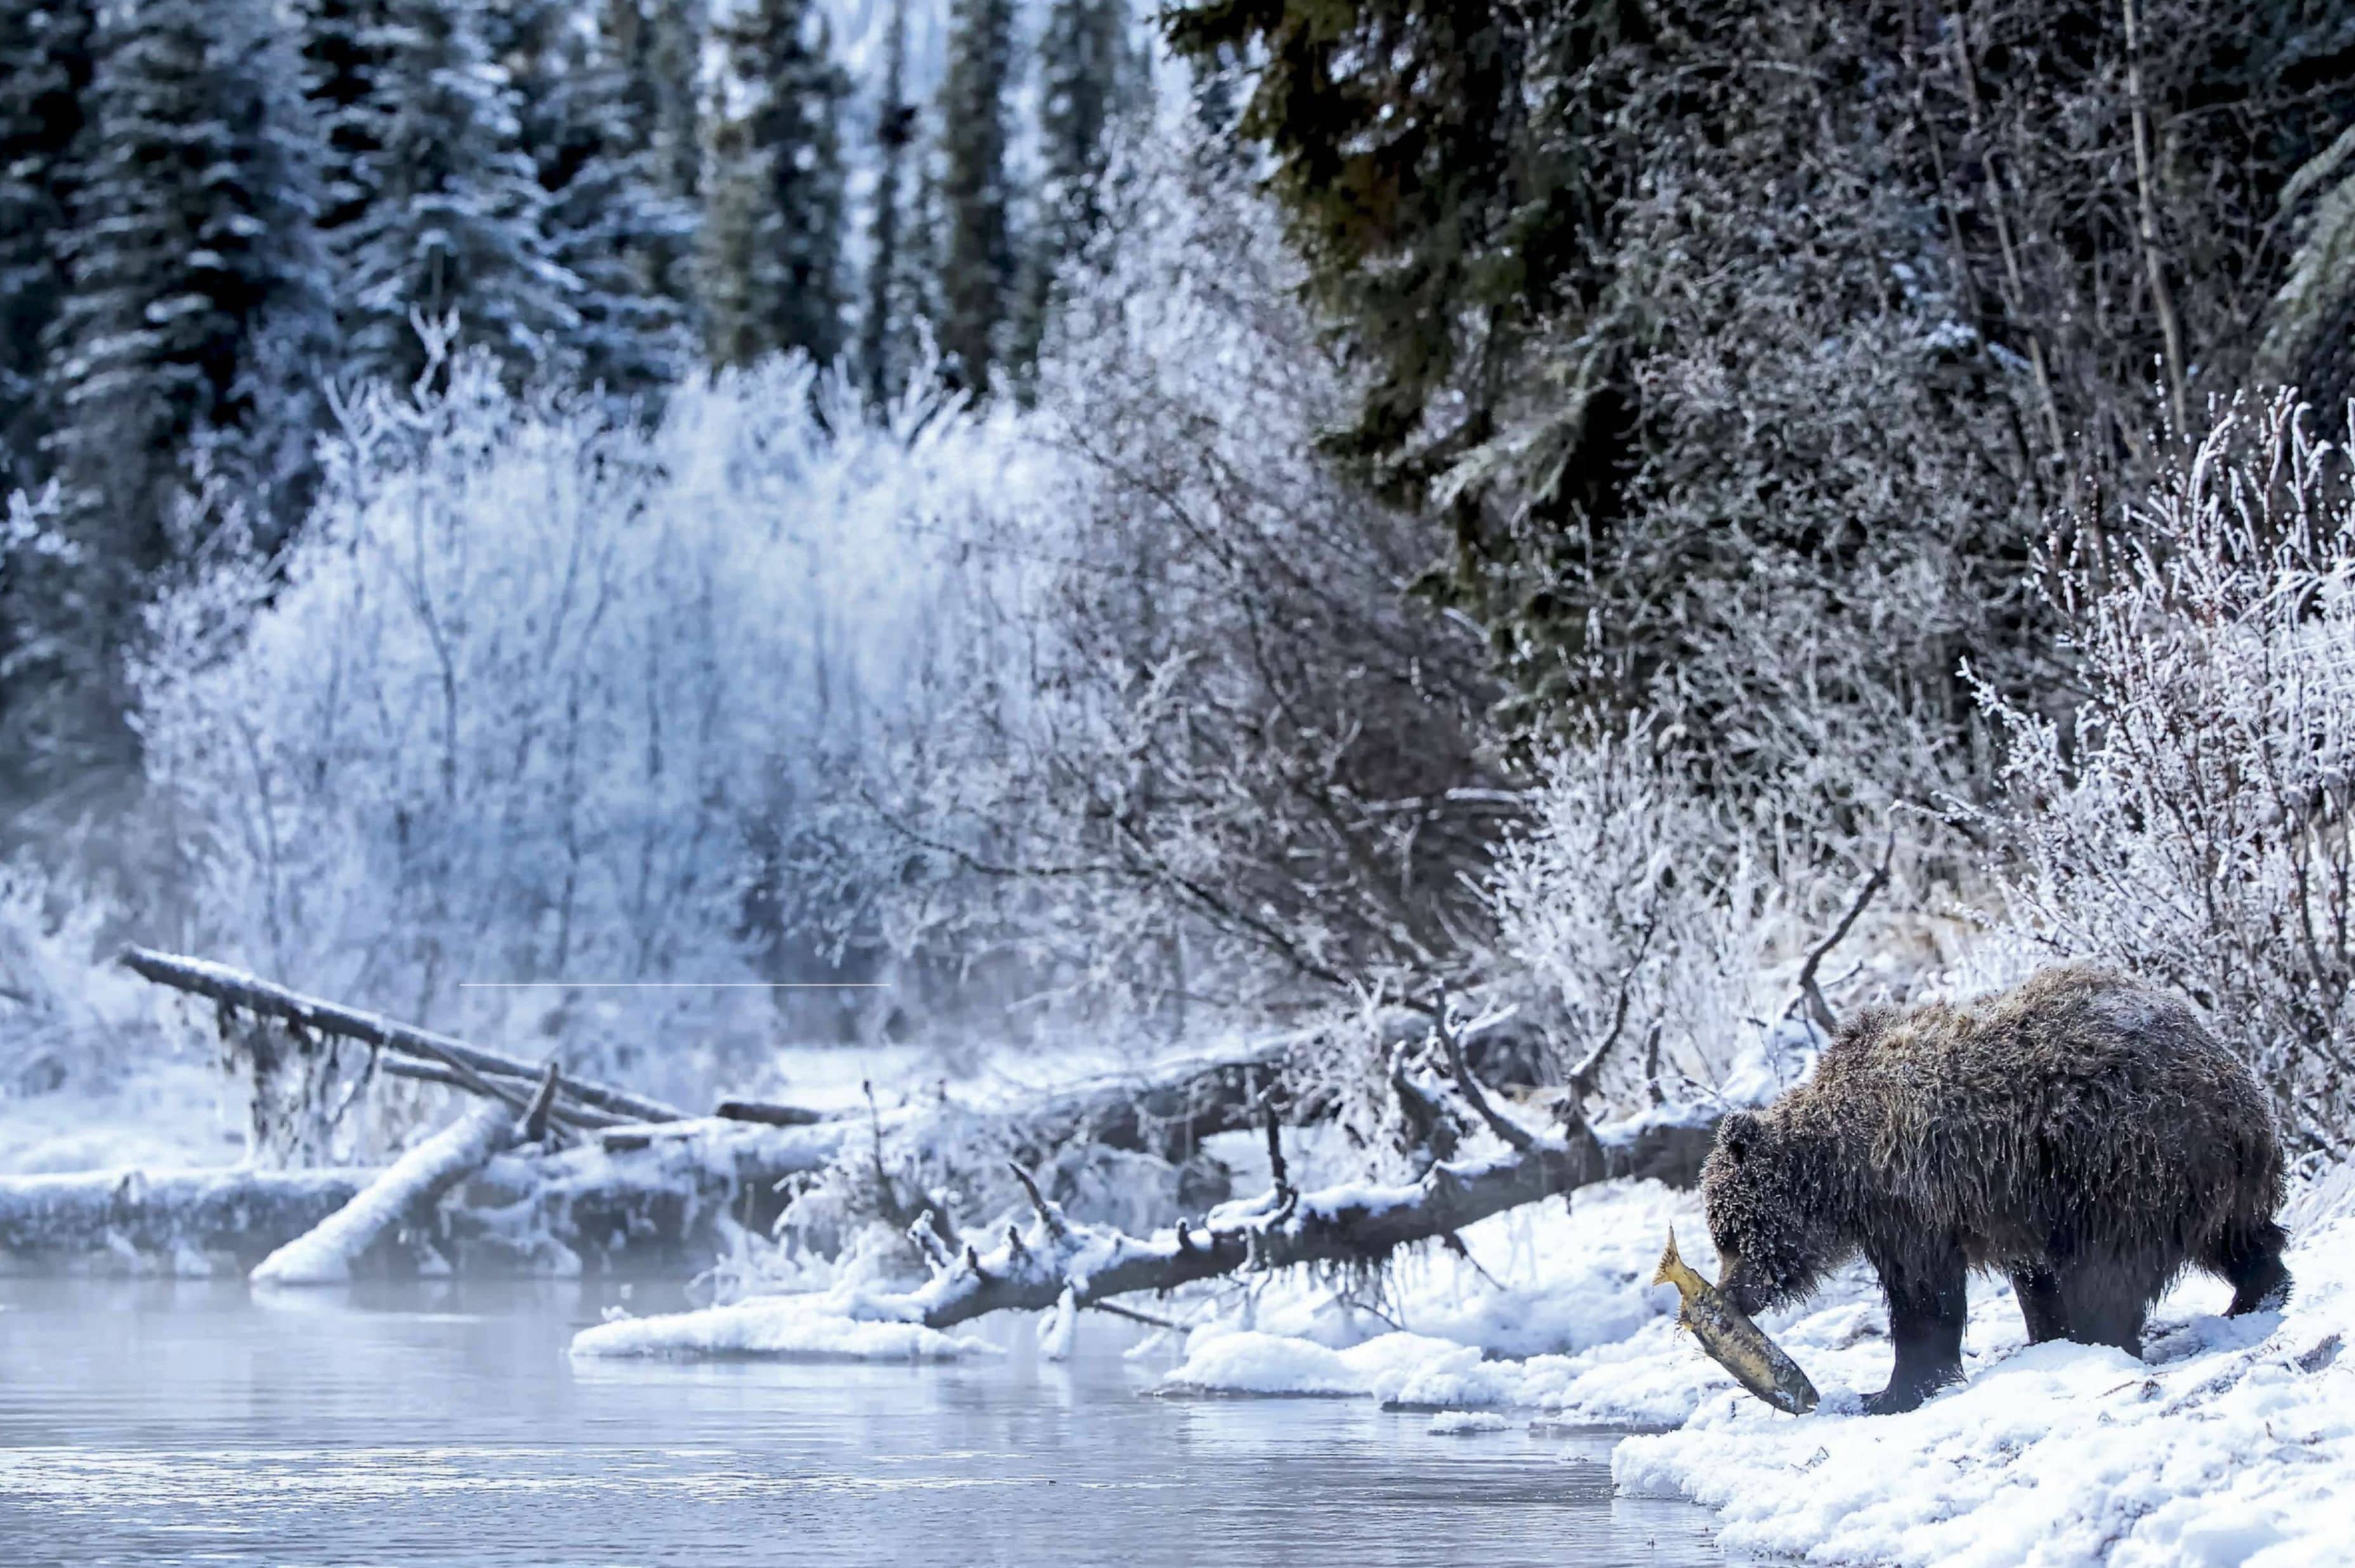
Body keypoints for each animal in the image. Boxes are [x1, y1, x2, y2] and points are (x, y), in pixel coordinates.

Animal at [1701, 964, 2291, 1414]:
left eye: (1731, 1233)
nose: (1731, 1293)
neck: (1840, 1170)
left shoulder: (1915, 1199)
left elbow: (1922, 1296)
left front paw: (1892, 1391)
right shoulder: (2013, 1203)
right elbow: (2034, 1282)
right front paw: (2045, 1336)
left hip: (2124, 1162)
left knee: (2107, 1270)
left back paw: (2106, 1338)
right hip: (2205, 1178)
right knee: (2238, 1239)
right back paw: (2254, 1296)